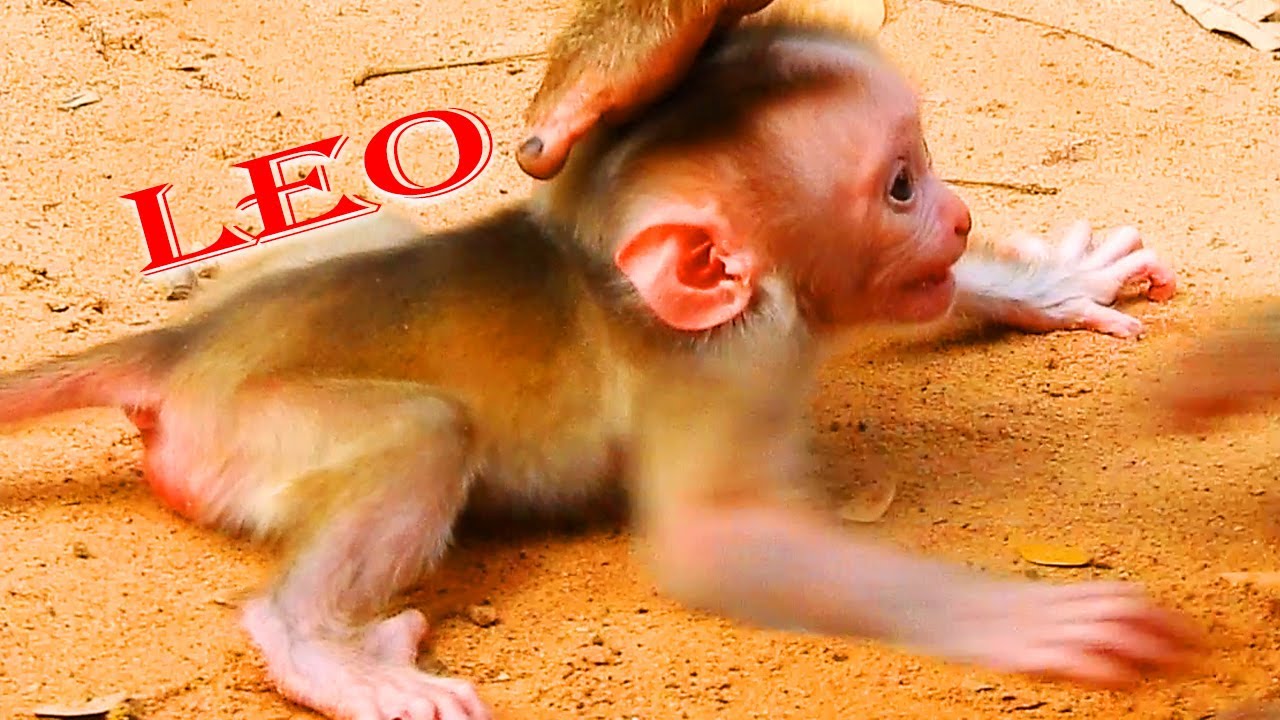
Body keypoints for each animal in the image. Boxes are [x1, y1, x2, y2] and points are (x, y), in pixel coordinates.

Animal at [0, 12, 1196, 720]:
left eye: (927, 171)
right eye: (900, 185)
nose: (955, 218)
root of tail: (188, 345)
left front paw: (1051, 284)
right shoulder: (722, 361)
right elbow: (713, 541)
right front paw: (1026, 623)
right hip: (249, 425)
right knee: (420, 435)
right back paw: (310, 648)